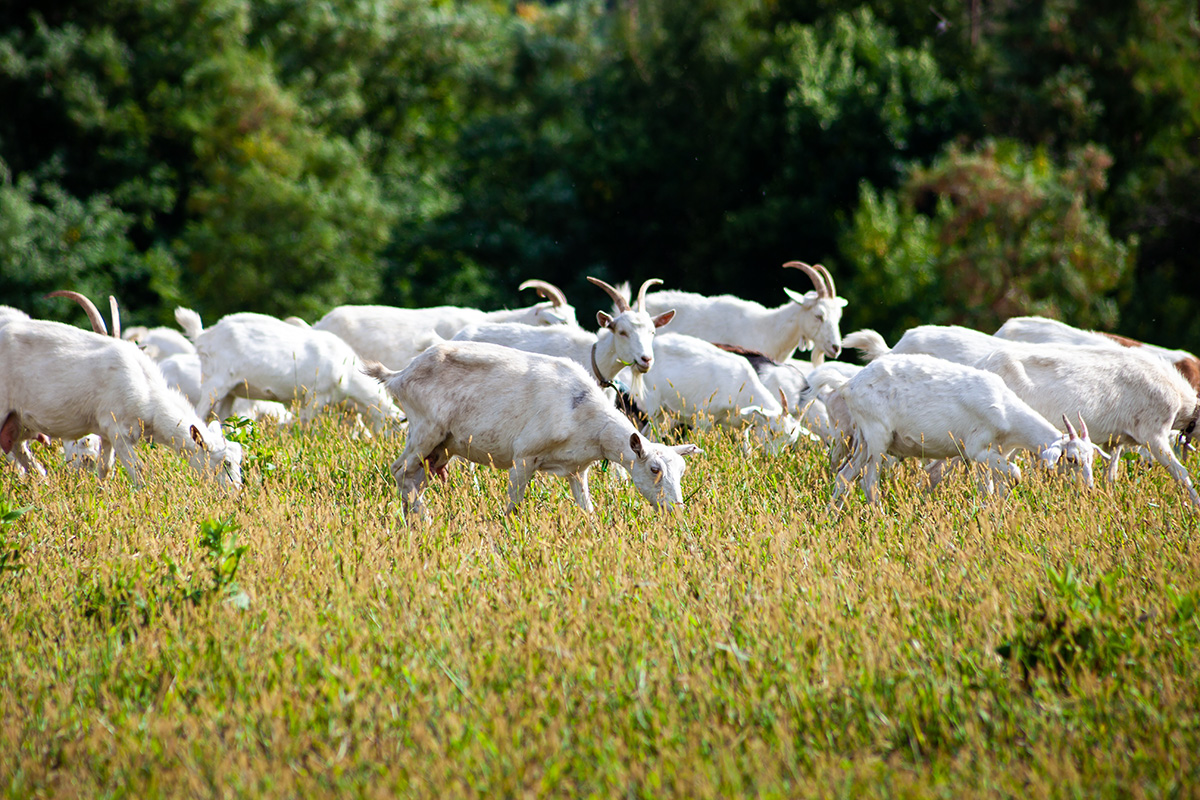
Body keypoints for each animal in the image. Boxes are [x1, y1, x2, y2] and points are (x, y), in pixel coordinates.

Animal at [0, 318, 242, 488]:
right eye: (225, 463)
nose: (236, 492)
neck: (150, 396)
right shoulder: (118, 430)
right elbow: (139, 469)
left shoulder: (106, 432)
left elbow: (106, 469)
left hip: (19, 422)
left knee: (23, 455)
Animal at [176, 308, 402, 432]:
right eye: (400, 428)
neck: (348, 375)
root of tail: (203, 335)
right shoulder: (315, 395)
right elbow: (307, 424)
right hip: (215, 381)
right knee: (200, 410)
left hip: (231, 390)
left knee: (222, 417)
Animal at [363, 342, 702, 519]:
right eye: (655, 469)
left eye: (682, 470)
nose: (676, 509)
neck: (584, 416)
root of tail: (398, 375)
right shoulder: (524, 456)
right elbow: (513, 504)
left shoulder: (577, 469)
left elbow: (587, 509)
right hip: (426, 429)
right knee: (399, 471)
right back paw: (425, 518)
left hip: (441, 445)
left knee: (413, 478)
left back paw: (414, 520)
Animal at [827, 354, 1096, 505]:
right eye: (1071, 458)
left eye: (1090, 458)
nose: (1089, 488)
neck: (1006, 412)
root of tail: (848, 385)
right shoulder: (977, 449)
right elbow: (1016, 474)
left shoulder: (994, 454)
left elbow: (990, 489)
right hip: (877, 438)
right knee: (869, 483)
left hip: (864, 440)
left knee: (844, 477)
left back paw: (832, 517)